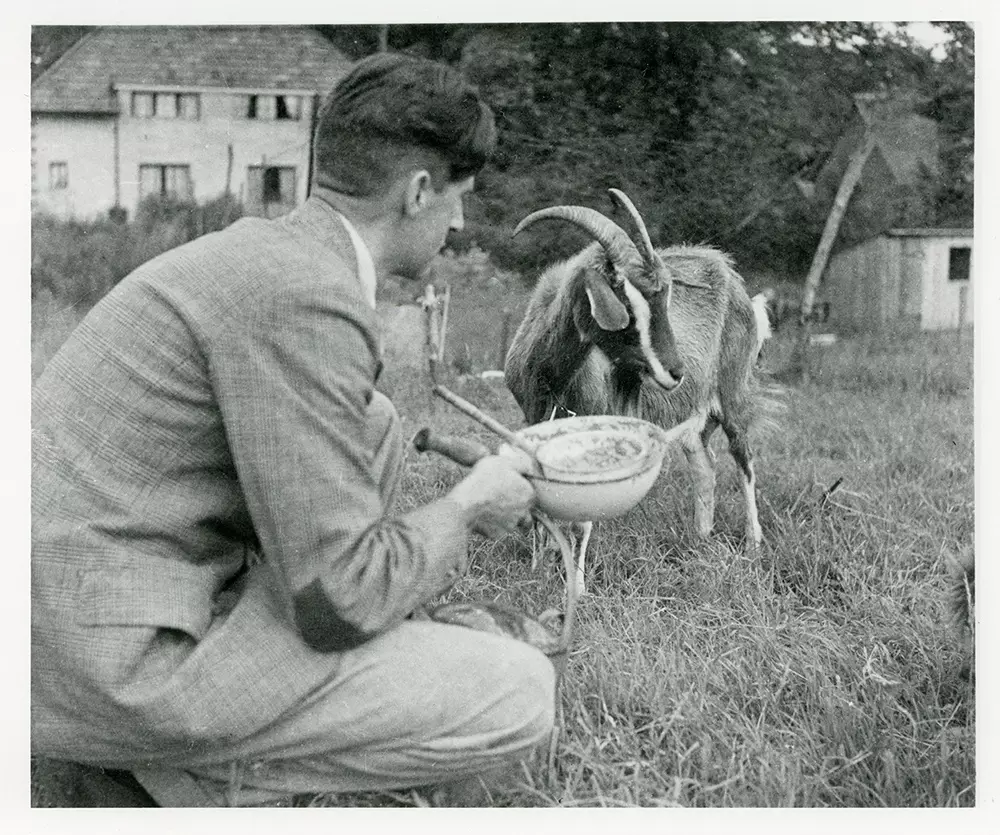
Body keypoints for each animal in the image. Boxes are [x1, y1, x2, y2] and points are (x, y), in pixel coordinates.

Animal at [504, 189, 776, 596]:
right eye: (625, 296)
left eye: (665, 298)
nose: (675, 372)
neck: (554, 377)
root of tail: (731, 274)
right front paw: (538, 568)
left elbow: (582, 518)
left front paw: (577, 588)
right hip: (692, 415)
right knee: (705, 463)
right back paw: (701, 538)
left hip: (733, 395)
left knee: (744, 459)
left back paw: (753, 543)